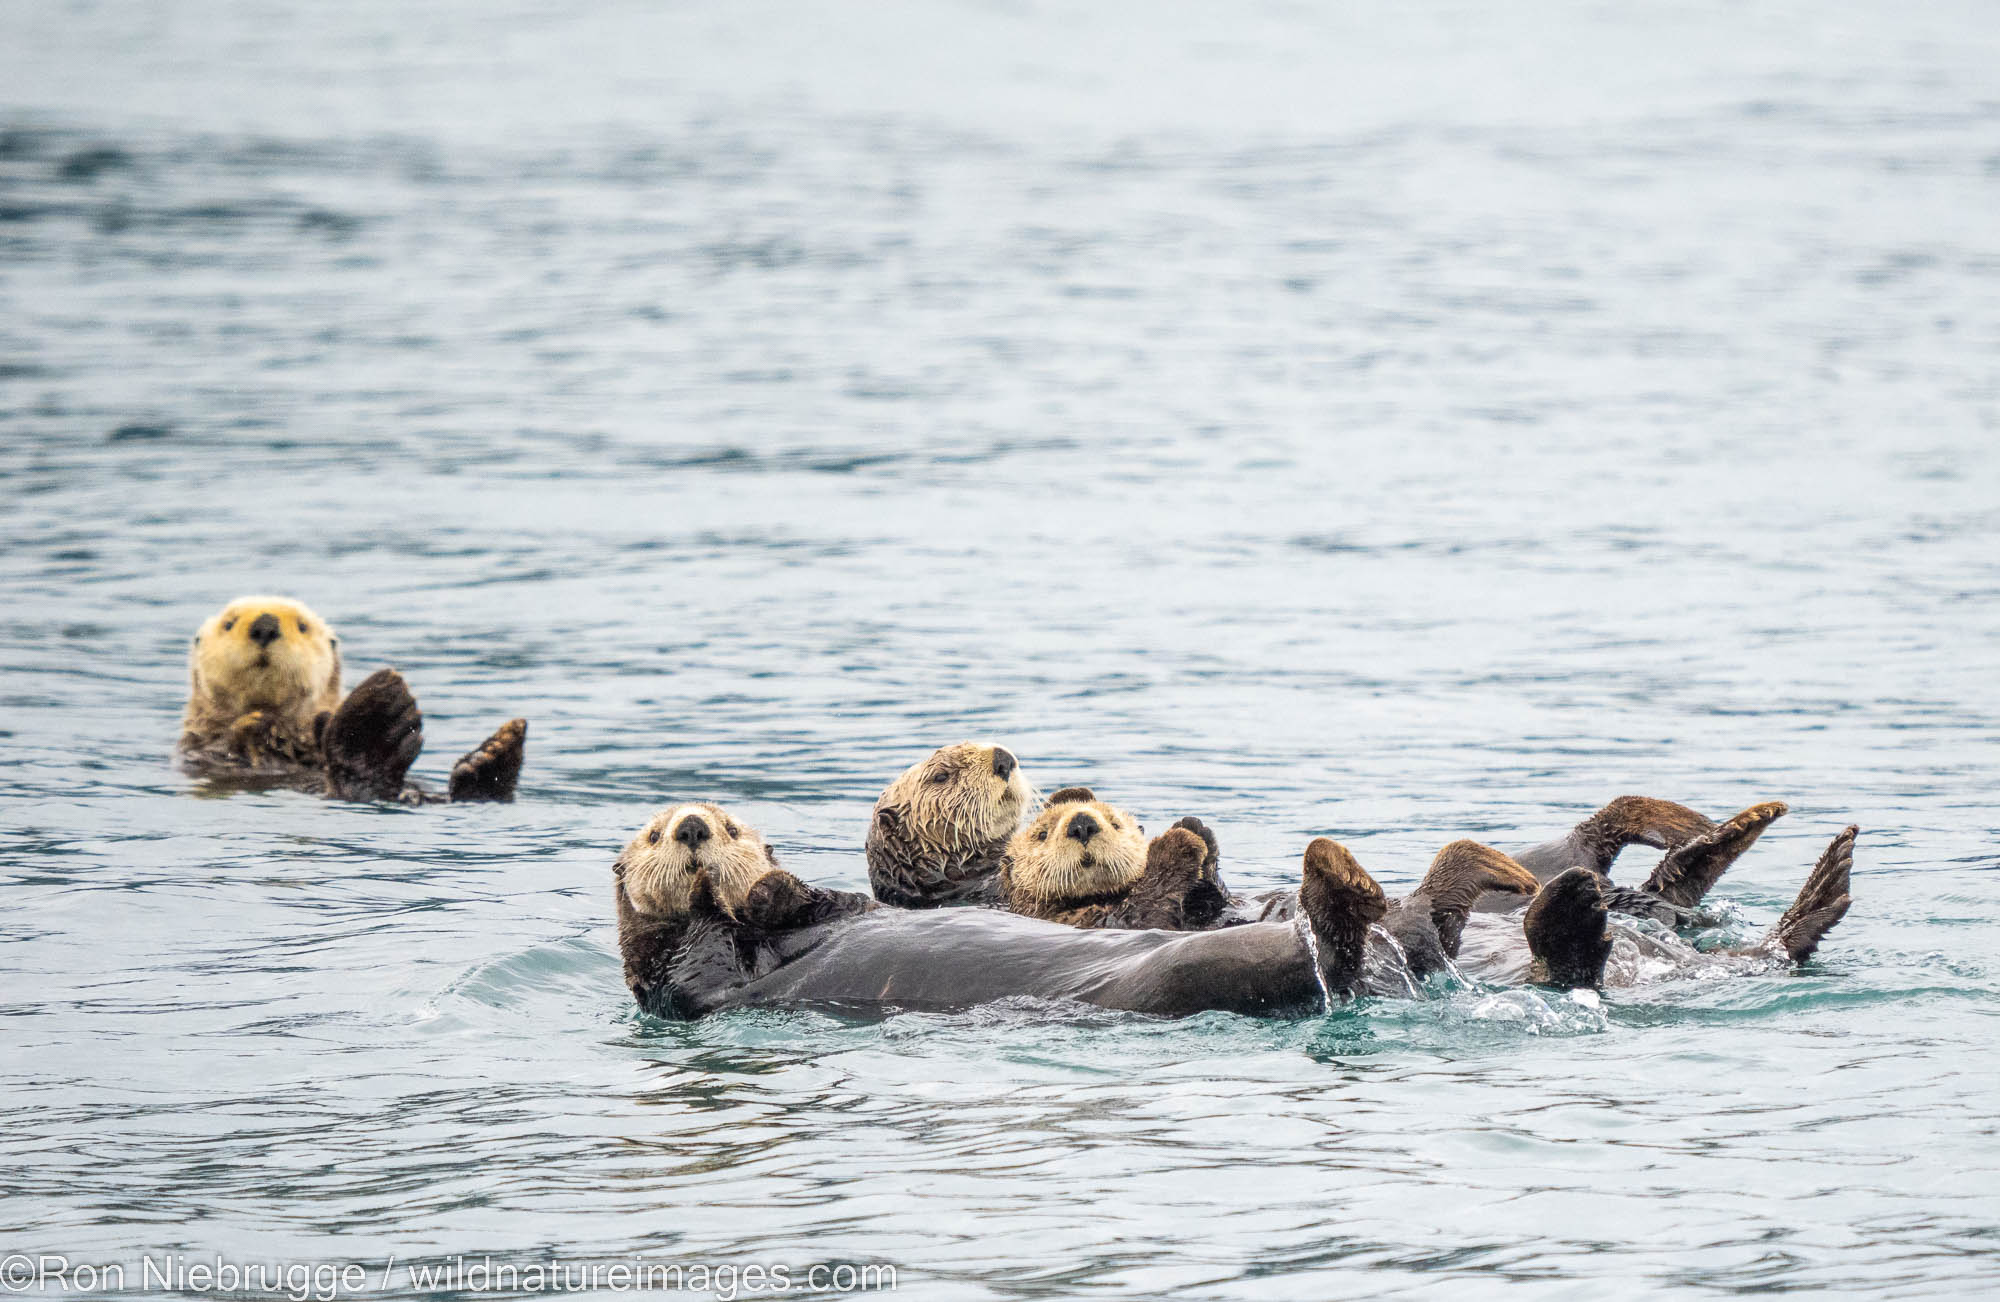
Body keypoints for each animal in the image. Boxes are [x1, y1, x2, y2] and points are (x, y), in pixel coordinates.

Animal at [177, 595, 526, 803]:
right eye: (229, 624)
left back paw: (493, 754)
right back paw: (376, 720)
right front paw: (256, 725)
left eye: (302, 626)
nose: (265, 625)